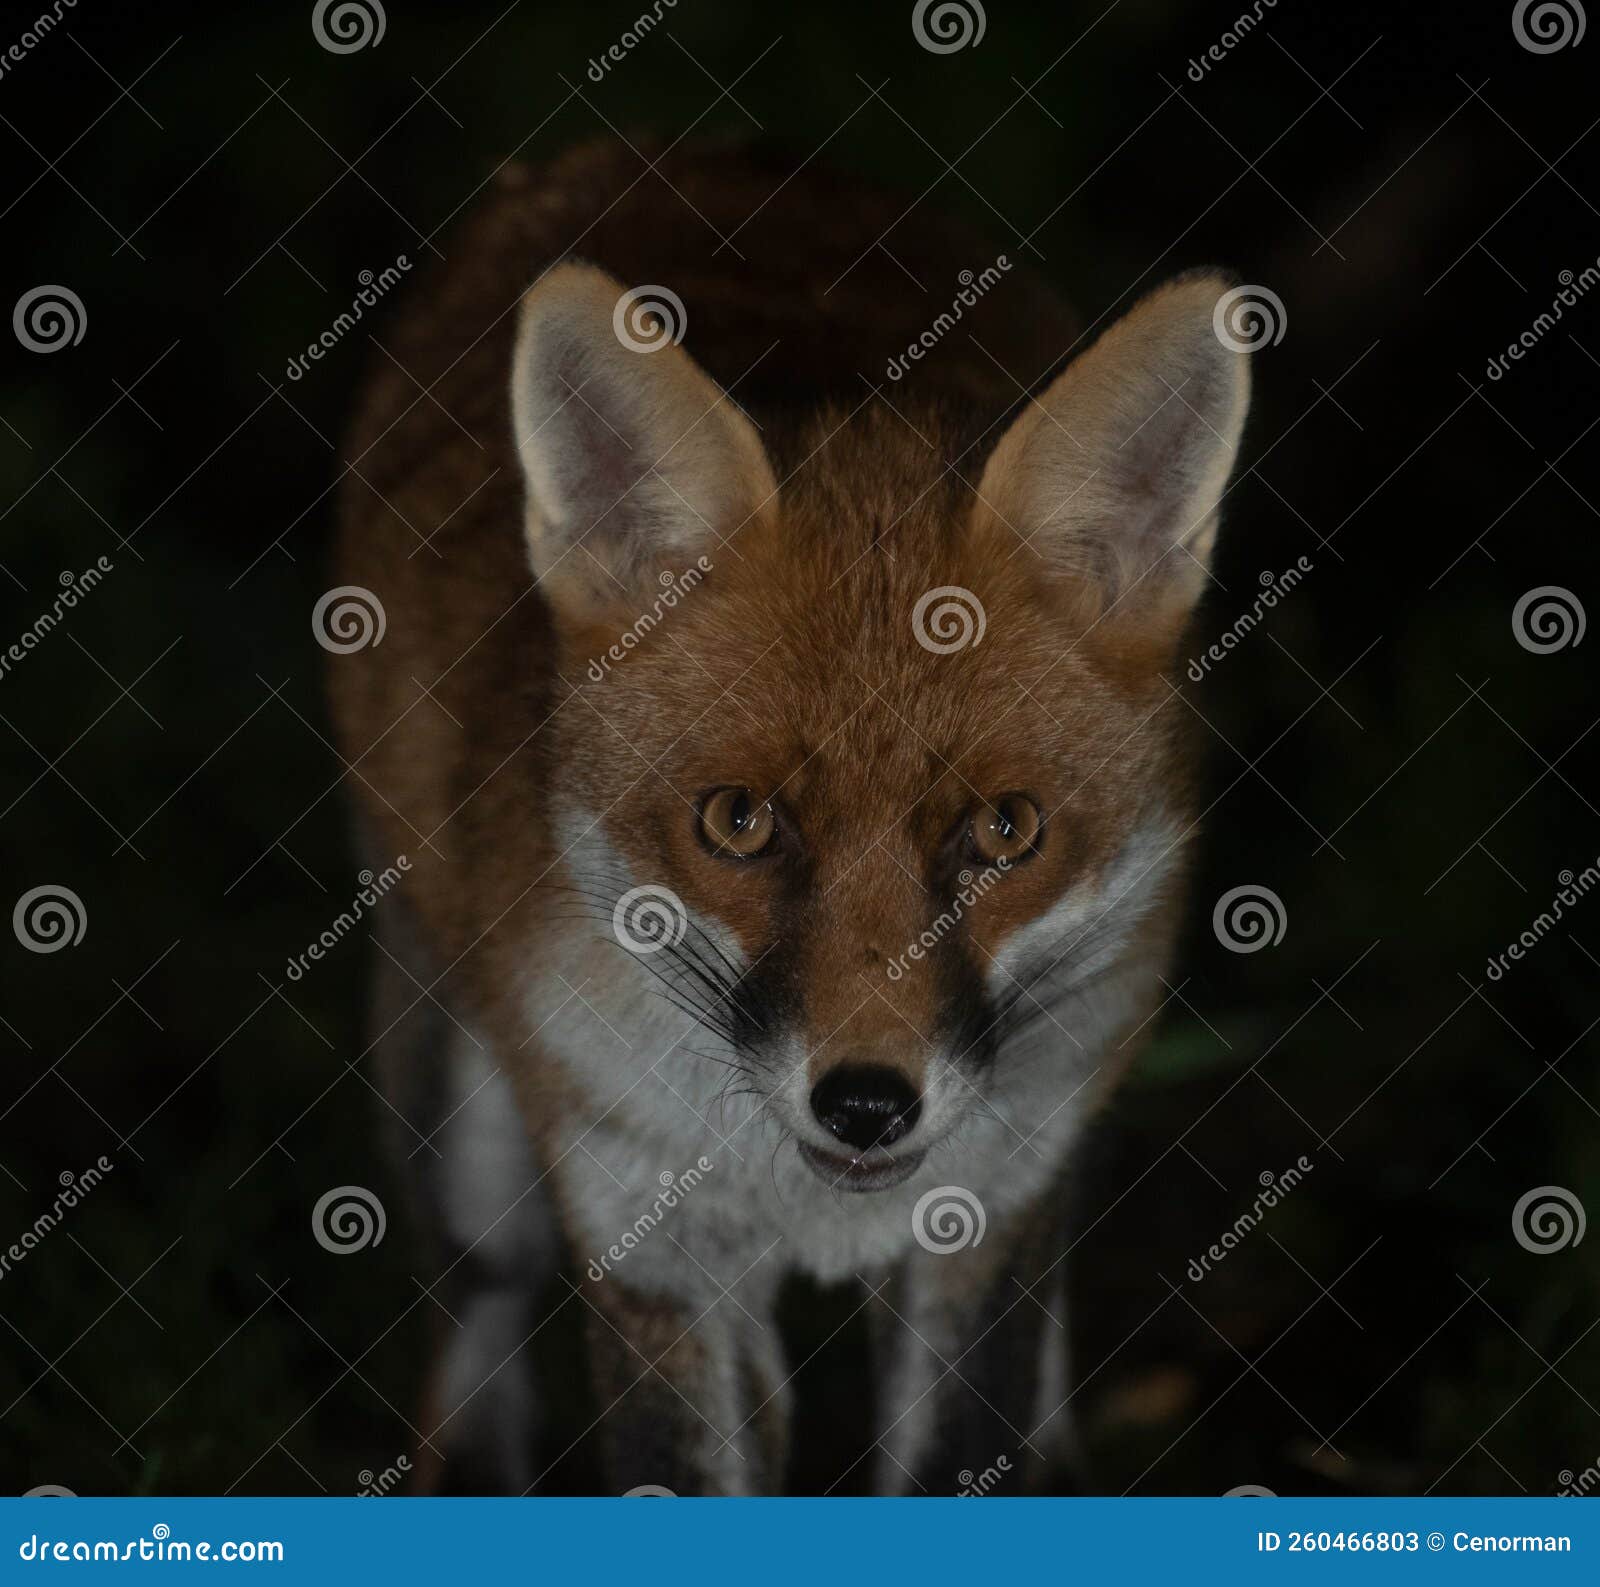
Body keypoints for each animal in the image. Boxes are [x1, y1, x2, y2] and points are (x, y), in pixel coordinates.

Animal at [328, 137, 1251, 1495]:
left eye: (1005, 833)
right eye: (739, 821)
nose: (865, 1103)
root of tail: (665, 147)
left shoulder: (985, 1227)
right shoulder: (642, 1233)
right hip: (464, 1134)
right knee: (478, 1319)